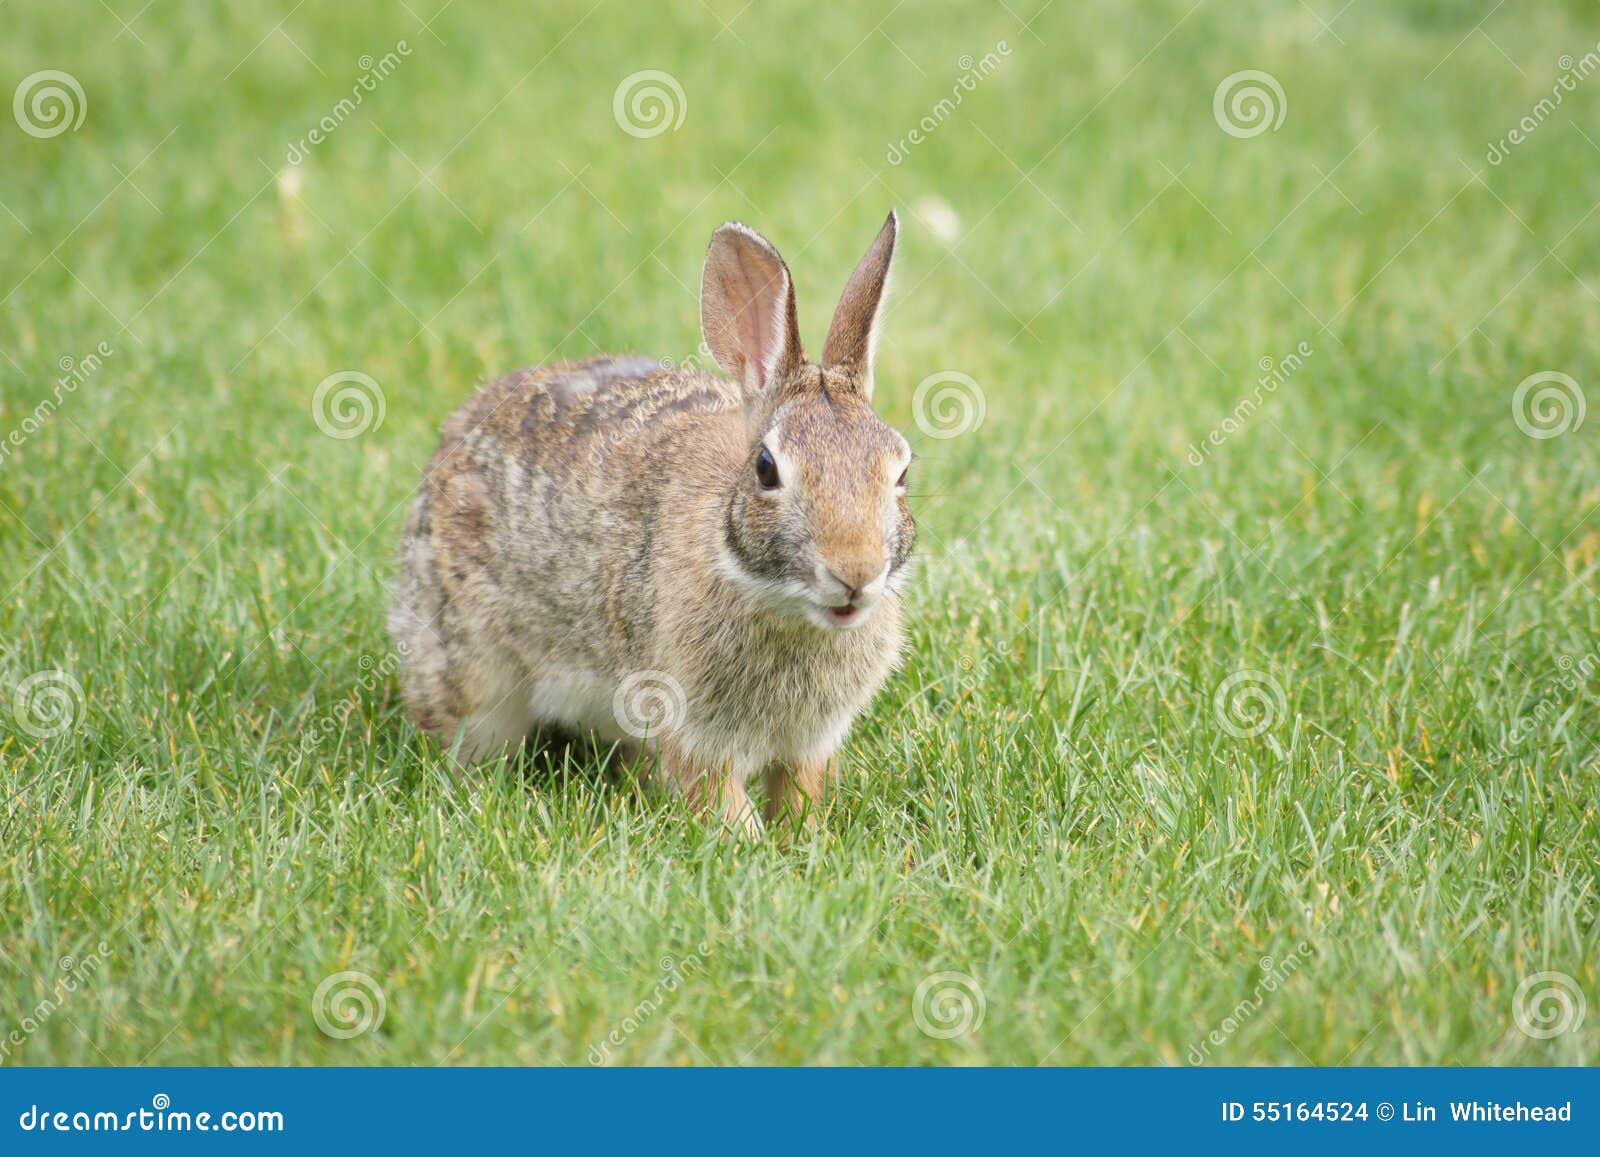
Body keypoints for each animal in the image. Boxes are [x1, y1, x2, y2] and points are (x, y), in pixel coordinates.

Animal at [389, 212, 915, 837]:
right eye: (767, 469)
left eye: (902, 469)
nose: (856, 573)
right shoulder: (689, 726)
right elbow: (716, 796)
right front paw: (750, 845)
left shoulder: (811, 742)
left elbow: (799, 793)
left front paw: (799, 840)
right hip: (473, 669)